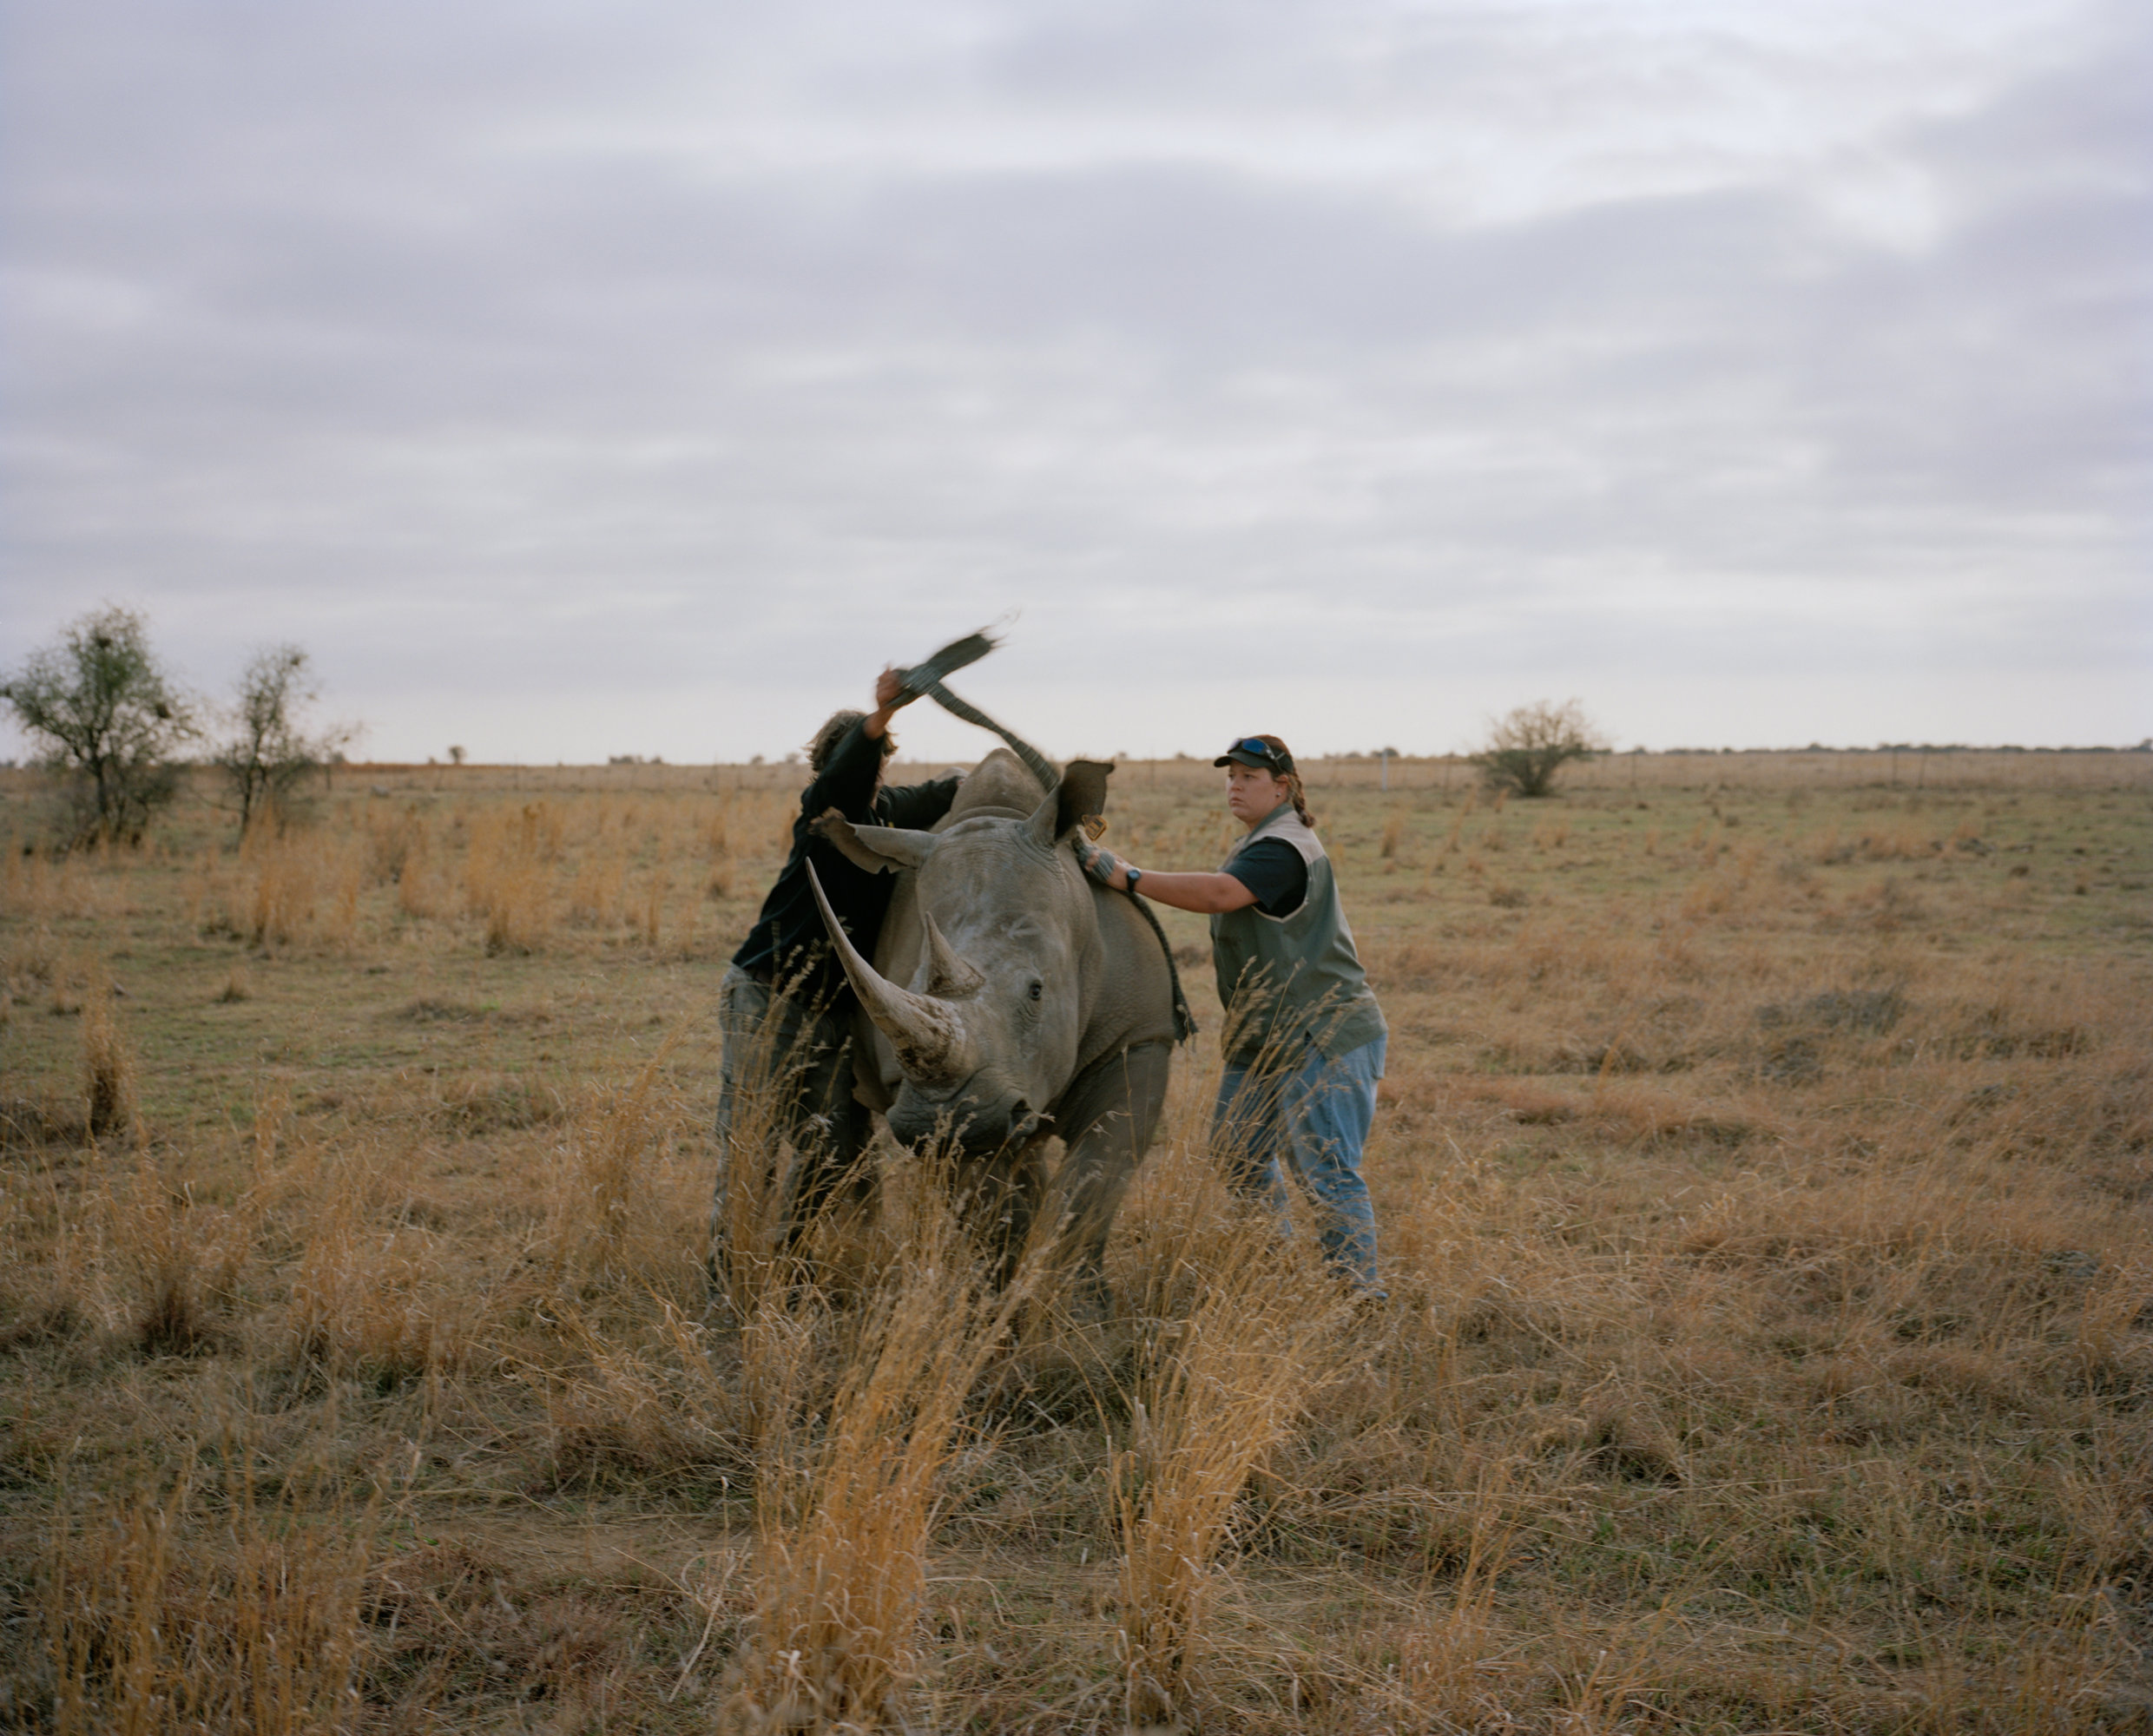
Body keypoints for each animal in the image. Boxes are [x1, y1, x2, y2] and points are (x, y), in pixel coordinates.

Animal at [807, 749, 1188, 1299]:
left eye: (1036, 991)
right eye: (908, 982)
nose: (934, 1122)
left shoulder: (1138, 1037)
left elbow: (1095, 1179)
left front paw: (1075, 1304)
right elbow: (992, 1209)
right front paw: (1004, 1300)